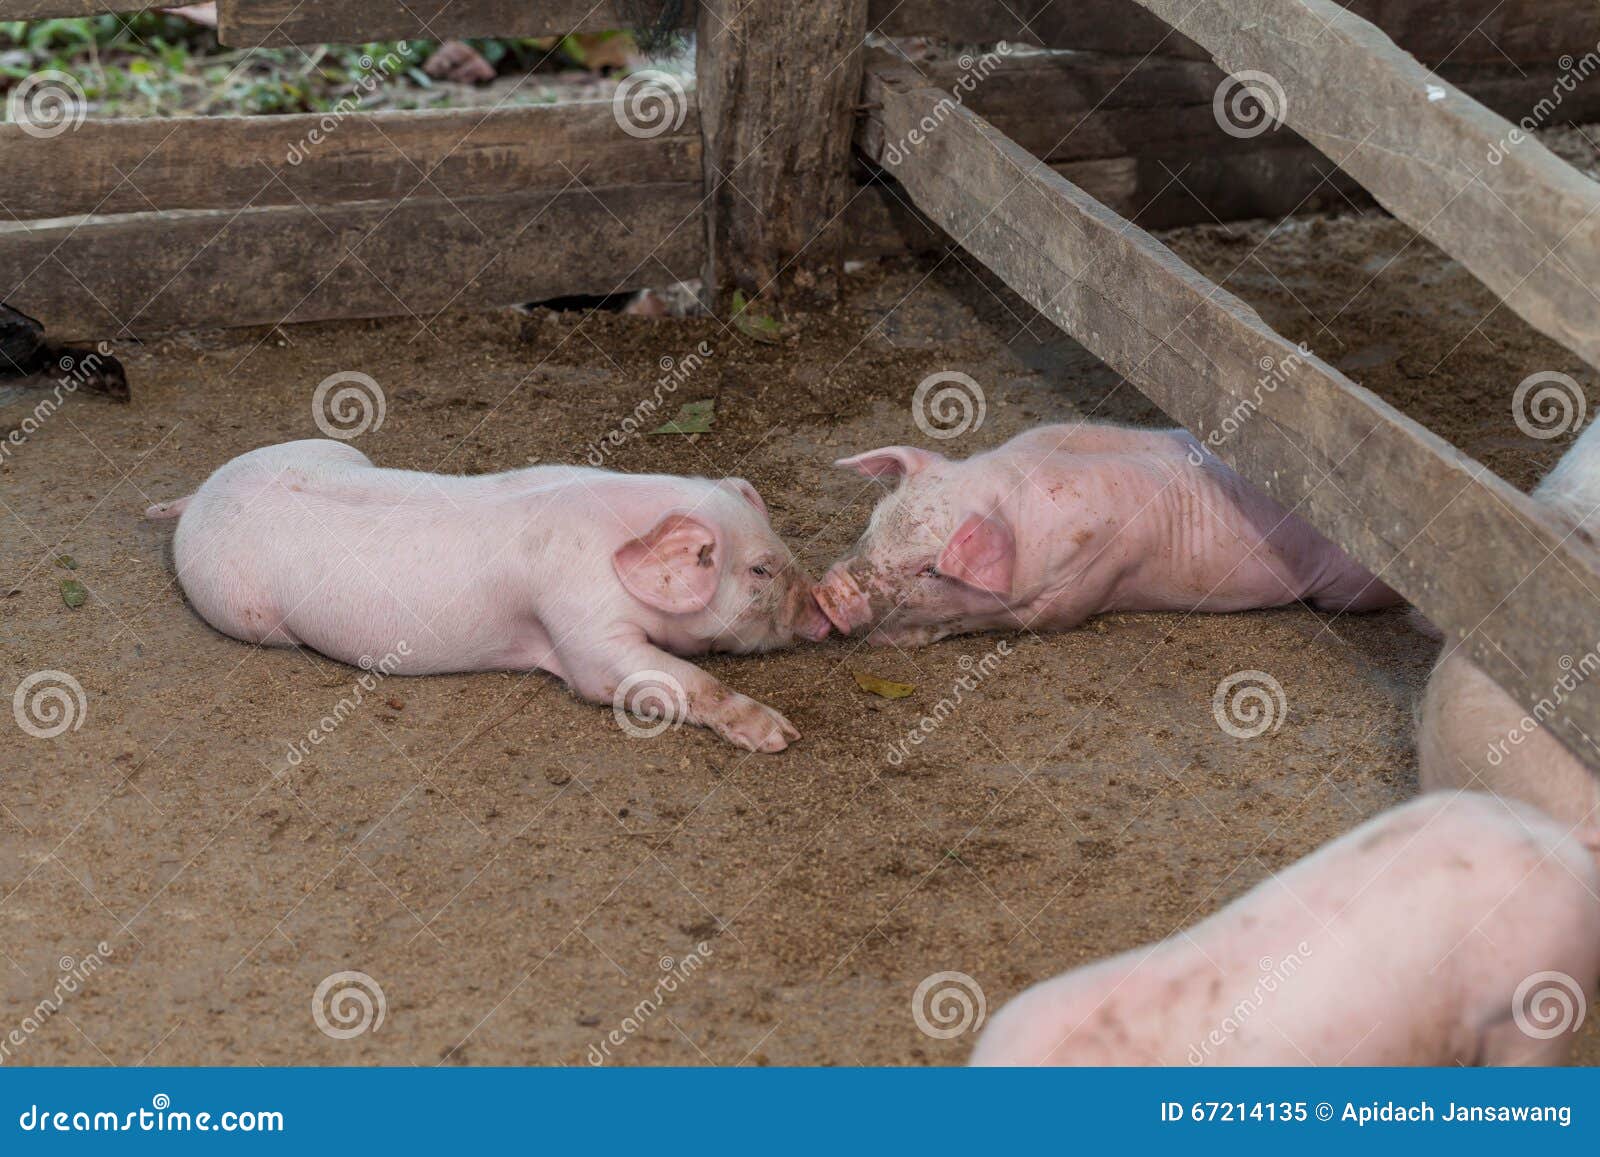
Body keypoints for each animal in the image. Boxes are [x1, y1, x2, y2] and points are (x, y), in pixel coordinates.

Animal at [145, 439, 830, 752]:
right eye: (761, 571)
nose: (826, 614)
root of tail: (198, 497)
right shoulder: (579, 622)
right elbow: (668, 678)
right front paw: (781, 736)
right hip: (242, 607)